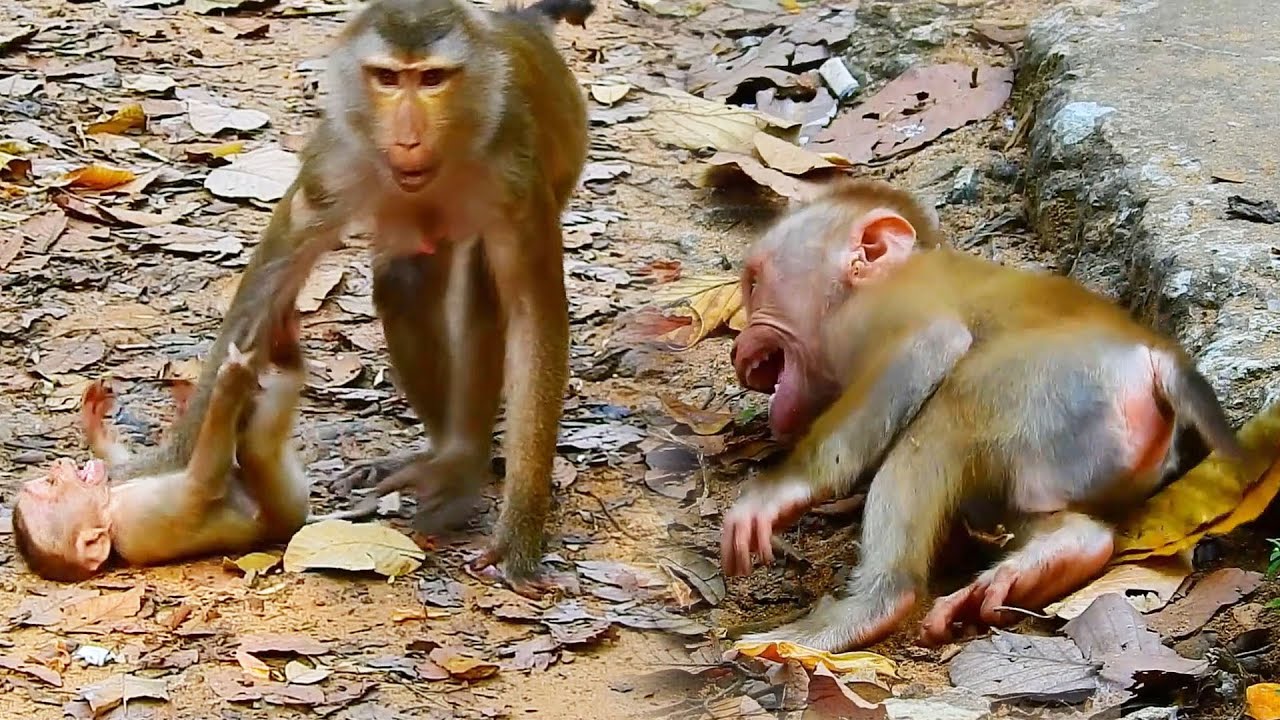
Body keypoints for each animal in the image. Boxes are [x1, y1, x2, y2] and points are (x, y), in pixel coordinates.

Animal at [102, 0, 596, 596]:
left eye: (432, 79)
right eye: (387, 78)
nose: (408, 138)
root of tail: (520, 23)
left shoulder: (514, 174)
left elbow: (530, 315)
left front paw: (519, 537)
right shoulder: (337, 158)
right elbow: (272, 276)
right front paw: (163, 460)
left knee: (482, 288)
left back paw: (462, 461)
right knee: (404, 278)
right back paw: (442, 454)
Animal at [720, 178, 1244, 652]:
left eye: (753, 281)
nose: (737, 346)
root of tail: (1150, 358)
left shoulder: (875, 312)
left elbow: (930, 342)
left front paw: (782, 491)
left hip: (1052, 385)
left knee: (947, 418)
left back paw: (873, 603)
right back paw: (1062, 555)